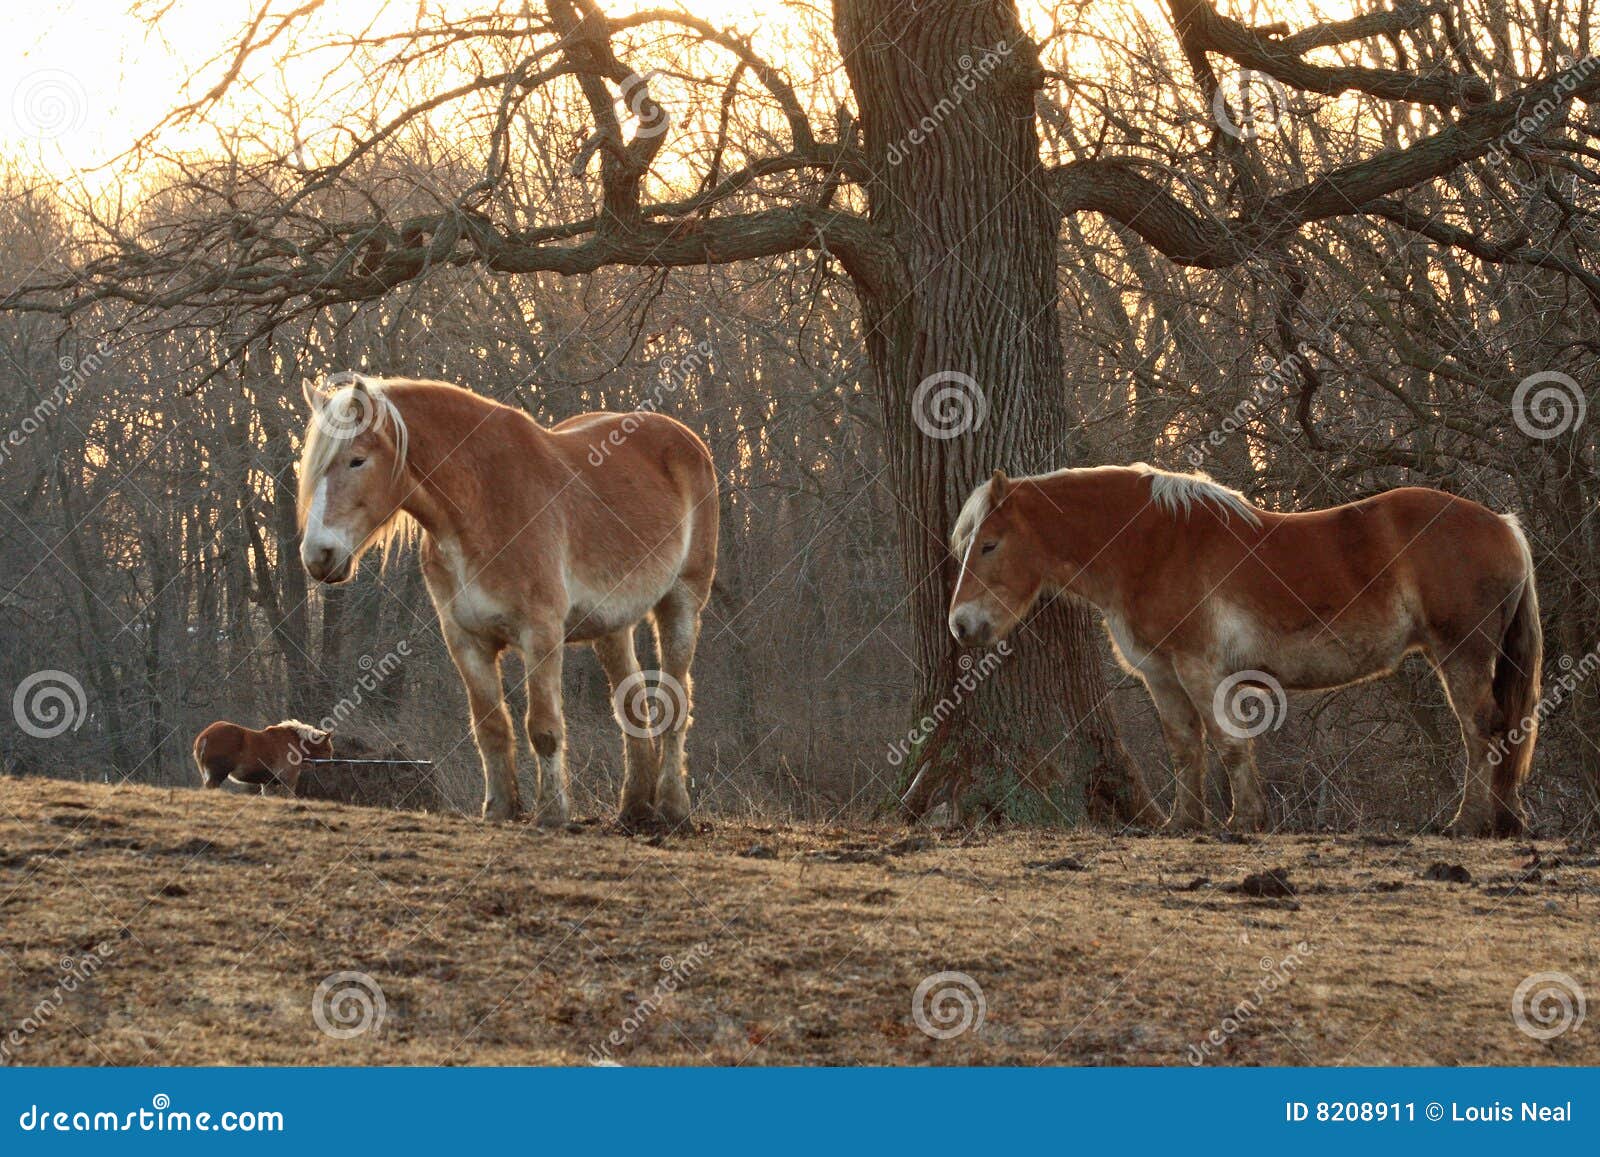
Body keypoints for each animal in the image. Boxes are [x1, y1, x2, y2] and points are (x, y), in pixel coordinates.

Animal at [193, 719, 333, 796]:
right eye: (327, 749)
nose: (331, 762)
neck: (295, 742)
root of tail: (205, 736)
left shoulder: (267, 783)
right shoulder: (288, 780)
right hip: (217, 774)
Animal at [295, 372, 717, 829]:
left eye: (356, 460)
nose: (317, 556)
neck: (483, 504)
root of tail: (686, 440)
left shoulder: (541, 634)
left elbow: (544, 728)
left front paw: (551, 813)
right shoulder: (465, 640)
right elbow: (491, 727)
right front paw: (499, 808)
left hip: (681, 603)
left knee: (677, 701)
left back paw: (673, 807)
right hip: (612, 625)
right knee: (631, 703)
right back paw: (635, 808)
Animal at [947, 464, 1542, 837]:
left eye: (990, 544)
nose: (961, 625)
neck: (1150, 547)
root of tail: (1504, 525)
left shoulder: (1200, 668)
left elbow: (1229, 744)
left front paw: (1244, 820)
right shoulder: (1162, 676)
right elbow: (1185, 749)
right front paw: (1183, 824)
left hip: (1461, 653)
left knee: (1481, 732)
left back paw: (1469, 822)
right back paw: (1506, 820)